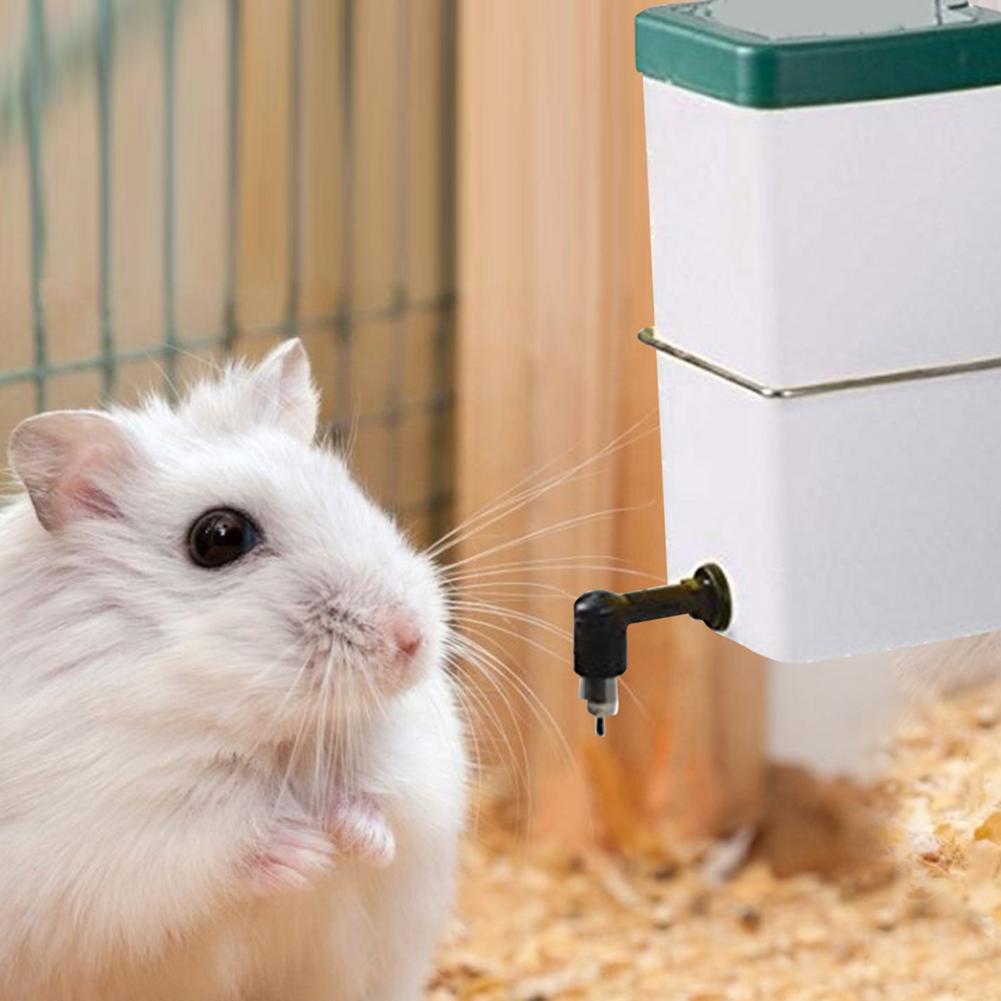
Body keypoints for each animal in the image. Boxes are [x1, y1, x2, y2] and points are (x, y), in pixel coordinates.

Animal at [0, 340, 467, 1001]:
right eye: (219, 536)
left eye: (348, 490)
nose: (411, 639)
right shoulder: (113, 834)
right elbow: (212, 841)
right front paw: (309, 853)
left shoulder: (418, 768)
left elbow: (387, 800)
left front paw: (350, 840)